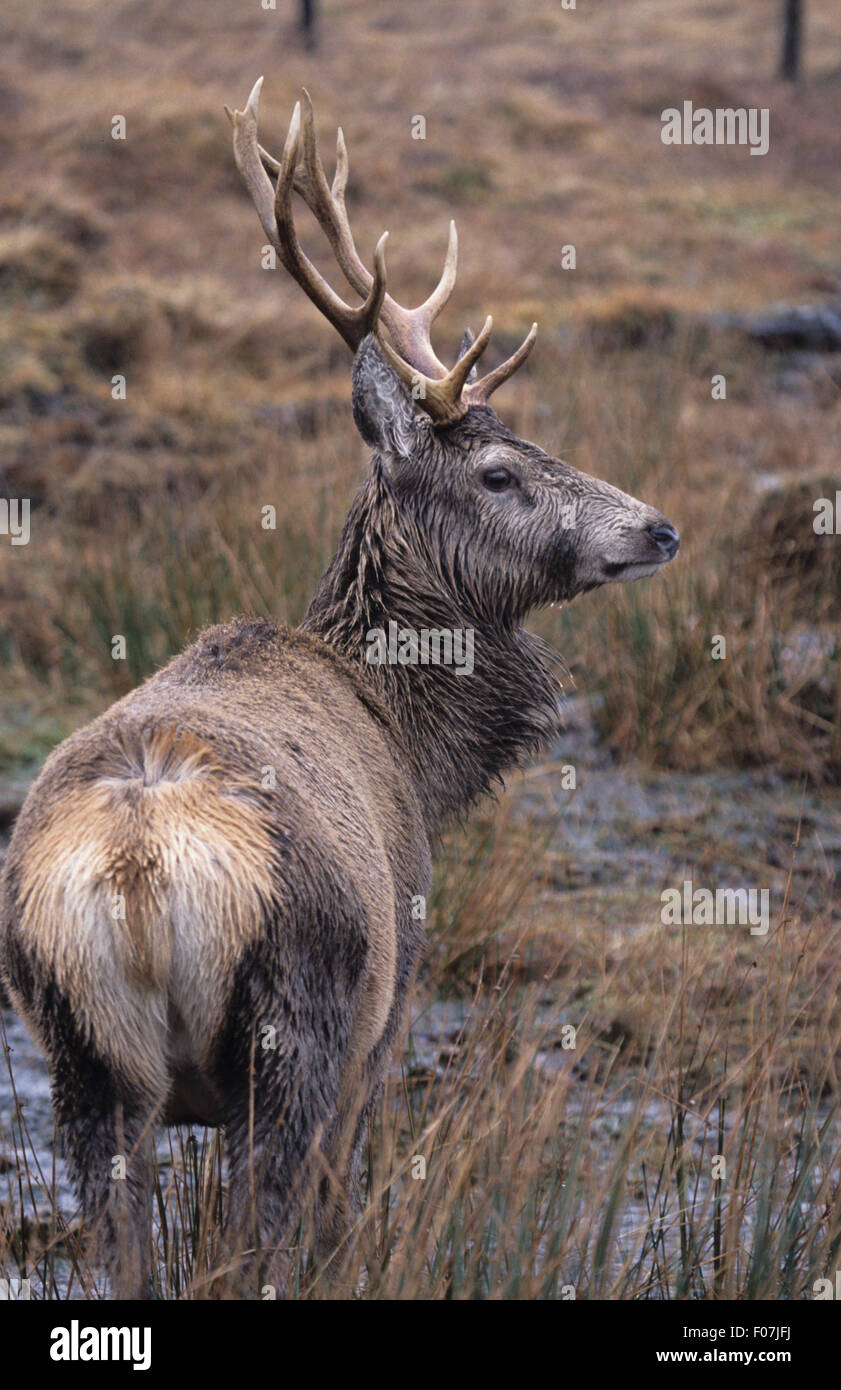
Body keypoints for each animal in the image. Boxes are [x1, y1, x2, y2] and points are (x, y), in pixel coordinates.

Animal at [0, 79, 679, 1299]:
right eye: (497, 472)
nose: (656, 527)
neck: (412, 740)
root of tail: (137, 862)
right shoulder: (391, 1000)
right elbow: (342, 1205)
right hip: (300, 1015)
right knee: (270, 1226)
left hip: (82, 1055)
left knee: (121, 1246)